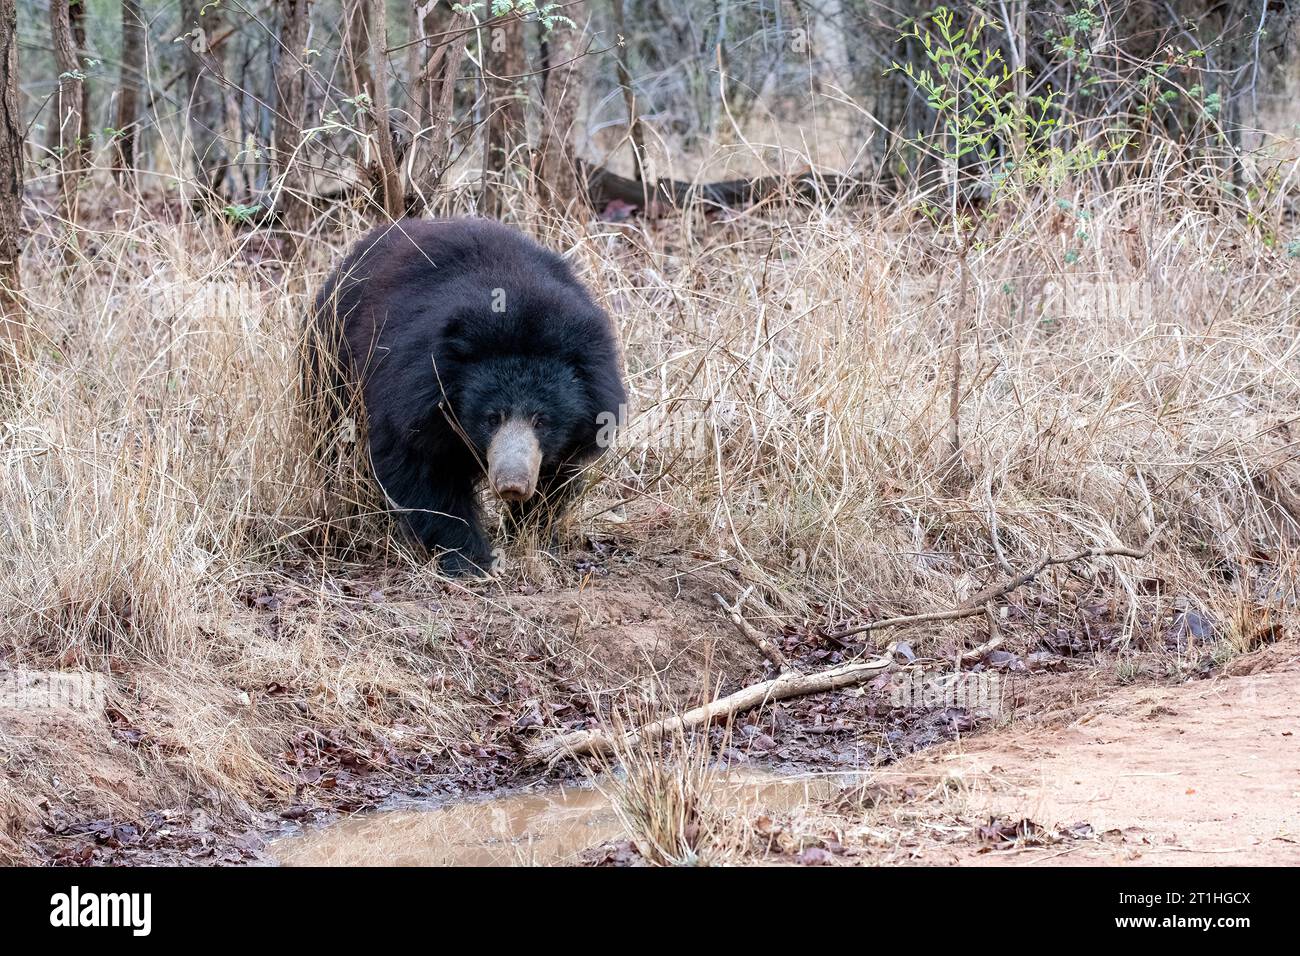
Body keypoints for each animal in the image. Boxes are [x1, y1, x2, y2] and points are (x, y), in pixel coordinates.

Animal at [310, 218, 627, 575]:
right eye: (491, 418)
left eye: (542, 420)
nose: (512, 484)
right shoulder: (413, 393)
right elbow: (422, 472)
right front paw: (471, 559)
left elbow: (554, 476)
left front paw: (533, 534)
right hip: (332, 360)